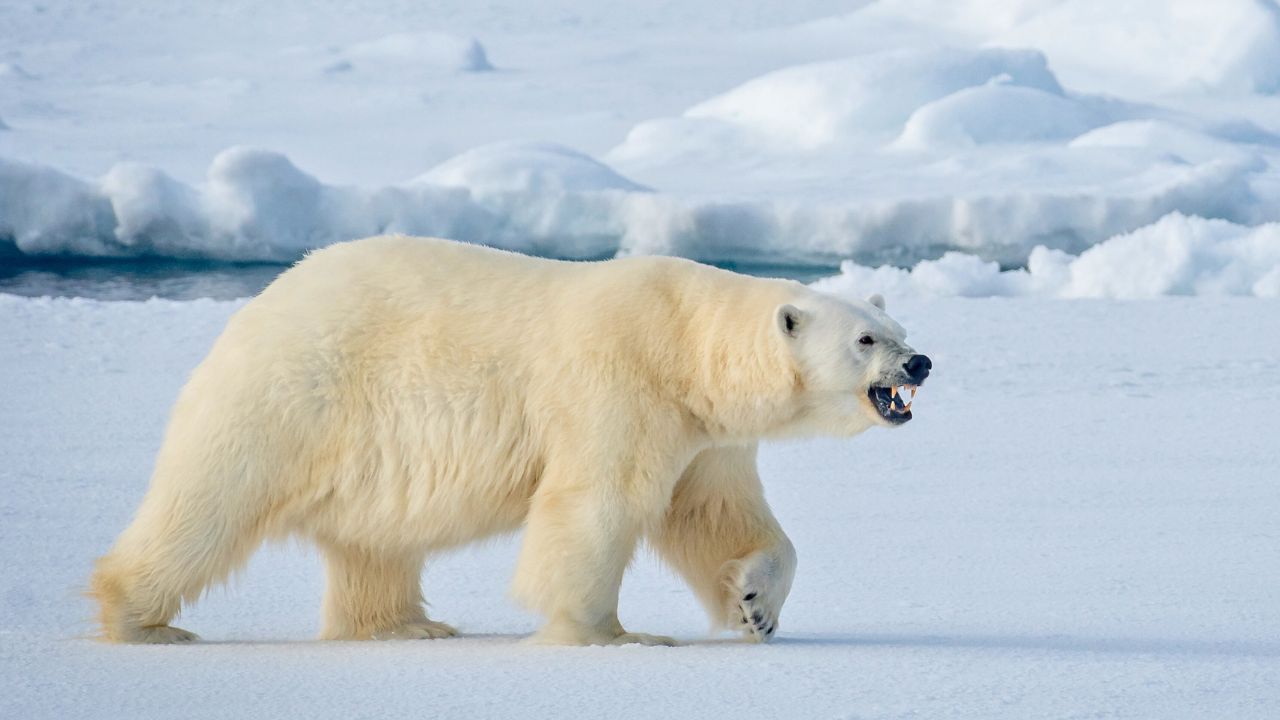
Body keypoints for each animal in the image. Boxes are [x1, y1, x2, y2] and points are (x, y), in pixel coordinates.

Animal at [89, 235, 931, 646]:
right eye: (866, 339)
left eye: (899, 325)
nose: (921, 362)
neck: (683, 344)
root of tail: (259, 304)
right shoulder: (619, 381)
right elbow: (598, 504)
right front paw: (609, 634)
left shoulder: (703, 435)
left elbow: (715, 514)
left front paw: (757, 605)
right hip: (296, 397)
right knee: (209, 502)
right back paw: (142, 622)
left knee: (373, 540)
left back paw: (407, 625)